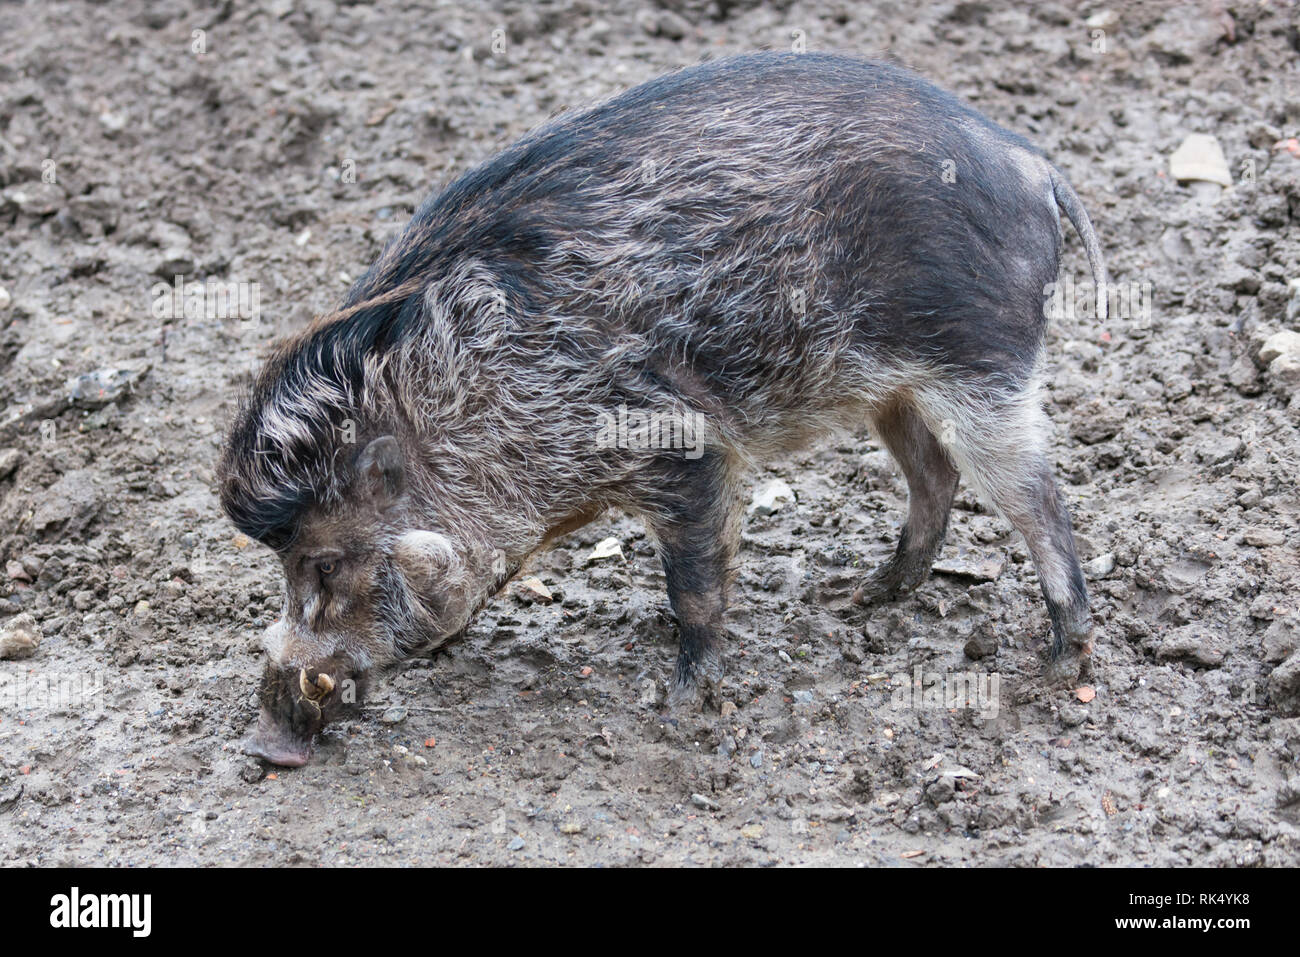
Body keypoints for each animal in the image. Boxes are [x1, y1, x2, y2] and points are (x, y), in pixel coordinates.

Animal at [219, 51, 1107, 766]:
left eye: (322, 564)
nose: (263, 748)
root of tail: (1031, 164)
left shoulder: (681, 444)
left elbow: (695, 589)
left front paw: (682, 708)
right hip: (894, 387)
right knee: (933, 478)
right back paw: (859, 596)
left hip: (983, 368)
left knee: (1038, 500)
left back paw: (1058, 665)